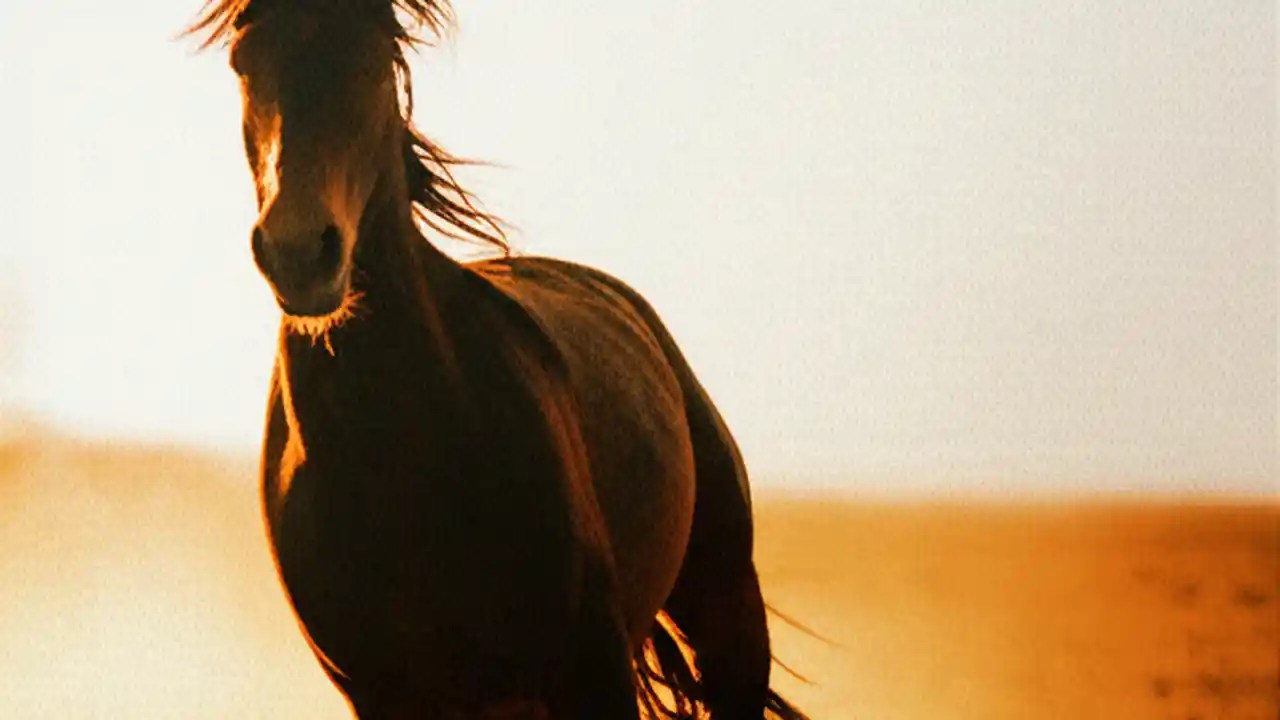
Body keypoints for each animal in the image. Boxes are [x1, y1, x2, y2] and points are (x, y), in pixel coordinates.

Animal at [188, 1, 808, 717]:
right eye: (244, 62)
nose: (299, 253)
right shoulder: (381, 694)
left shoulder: (592, 670)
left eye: (377, 61)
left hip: (729, 617)